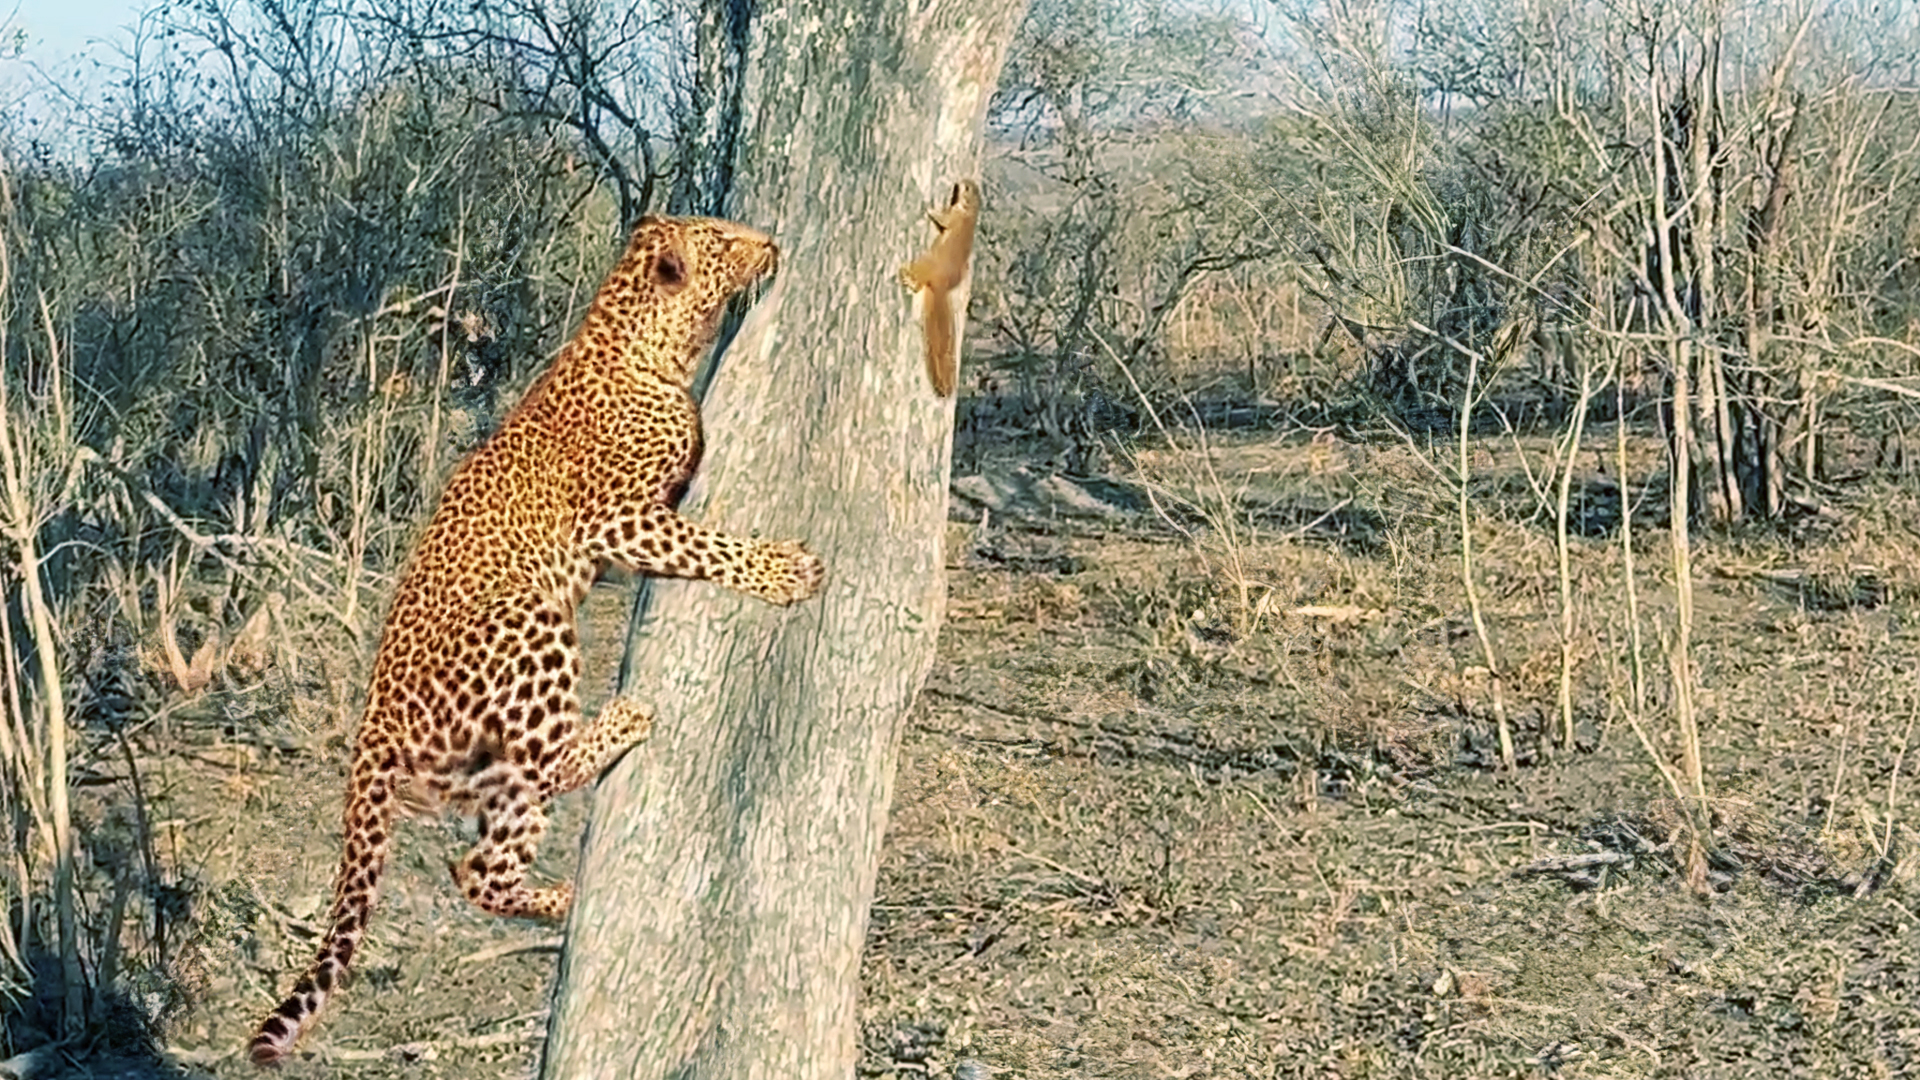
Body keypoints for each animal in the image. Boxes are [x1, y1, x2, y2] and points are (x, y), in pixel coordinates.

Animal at [248, 215, 824, 1067]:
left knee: (474, 866)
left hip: (482, 771)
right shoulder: (618, 521)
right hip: (530, 618)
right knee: (545, 774)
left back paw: (560, 895)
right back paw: (621, 723)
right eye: (721, 236)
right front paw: (783, 569)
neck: (645, 342)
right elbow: (708, 546)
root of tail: (370, 723)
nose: (770, 241)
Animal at [899, 179, 981, 397]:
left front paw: (929, 208)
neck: (970, 212)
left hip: (925, 262)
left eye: (967, 188)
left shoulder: (953, 218)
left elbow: (942, 219)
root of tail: (941, 286)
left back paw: (907, 277)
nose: (960, 182)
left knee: (919, 280)